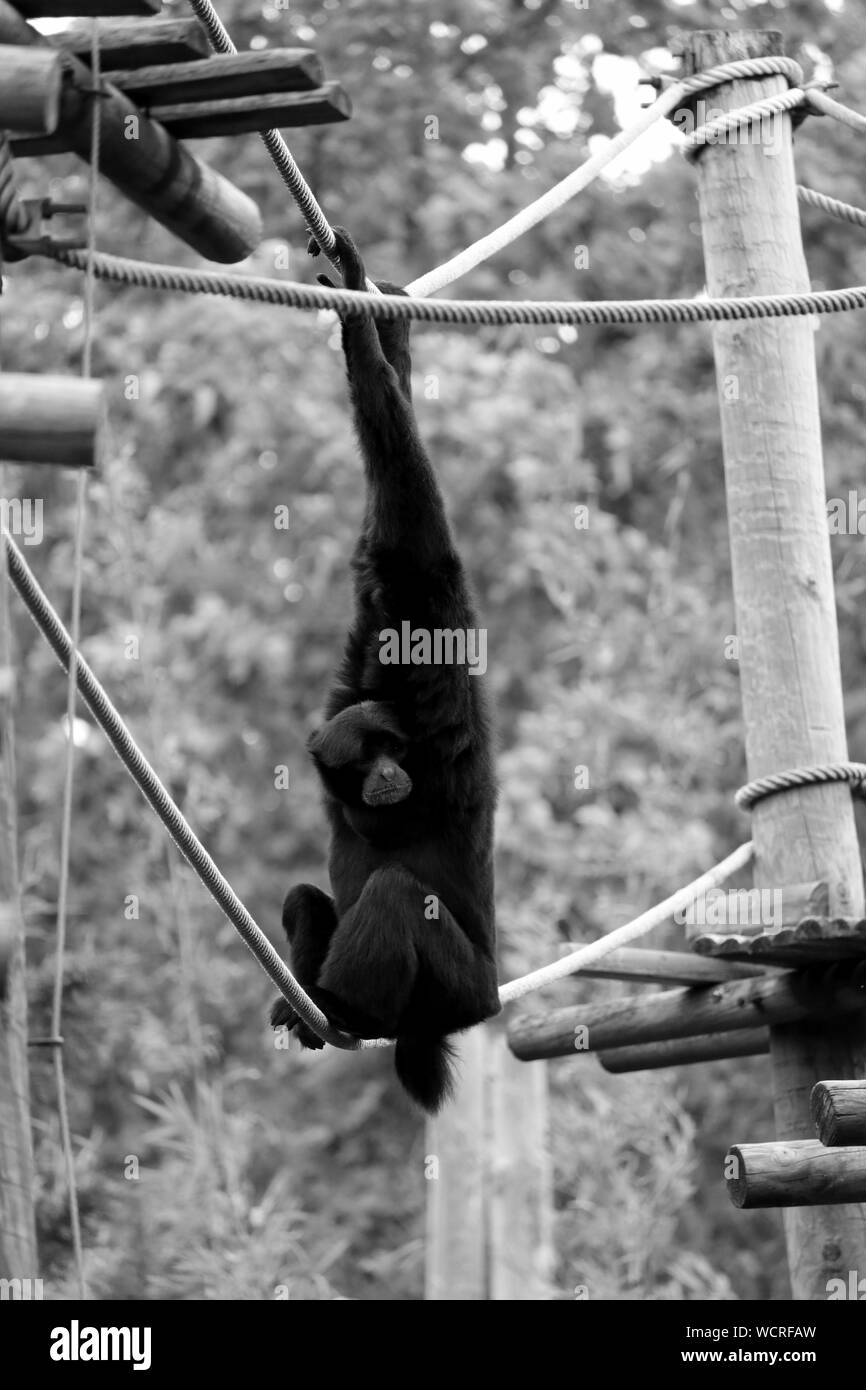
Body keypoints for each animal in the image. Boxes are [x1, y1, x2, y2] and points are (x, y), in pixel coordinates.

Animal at [271, 227, 499, 1113]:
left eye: (394, 751)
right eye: (362, 756)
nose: (387, 776)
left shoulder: (437, 697)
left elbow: (414, 546)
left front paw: (361, 327)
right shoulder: (358, 676)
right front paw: (385, 334)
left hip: (464, 991)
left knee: (402, 894)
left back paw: (342, 1009)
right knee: (305, 896)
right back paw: (319, 1011)